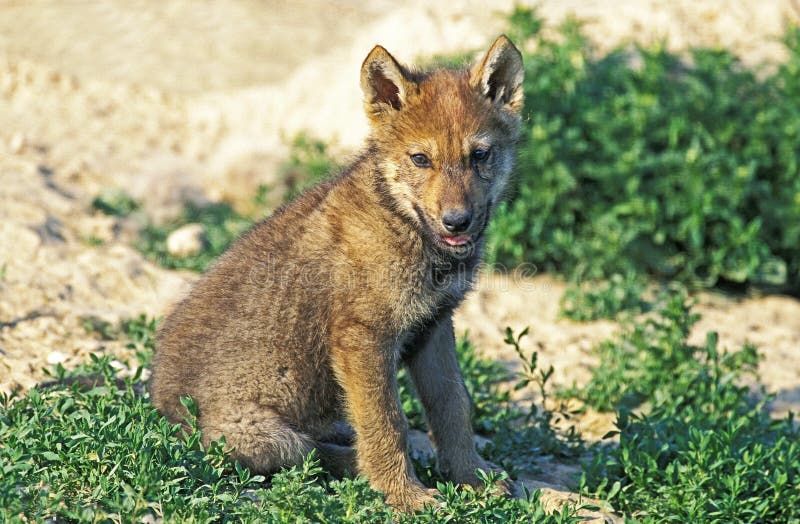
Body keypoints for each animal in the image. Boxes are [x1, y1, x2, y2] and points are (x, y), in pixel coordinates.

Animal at [150, 35, 524, 511]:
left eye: (480, 155)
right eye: (421, 159)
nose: (457, 222)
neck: (401, 223)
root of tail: (160, 408)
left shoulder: (434, 327)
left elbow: (454, 406)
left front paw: (472, 478)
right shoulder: (363, 338)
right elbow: (389, 424)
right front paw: (404, 495)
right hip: (265, 436)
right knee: (312, 455)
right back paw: (364, 470)